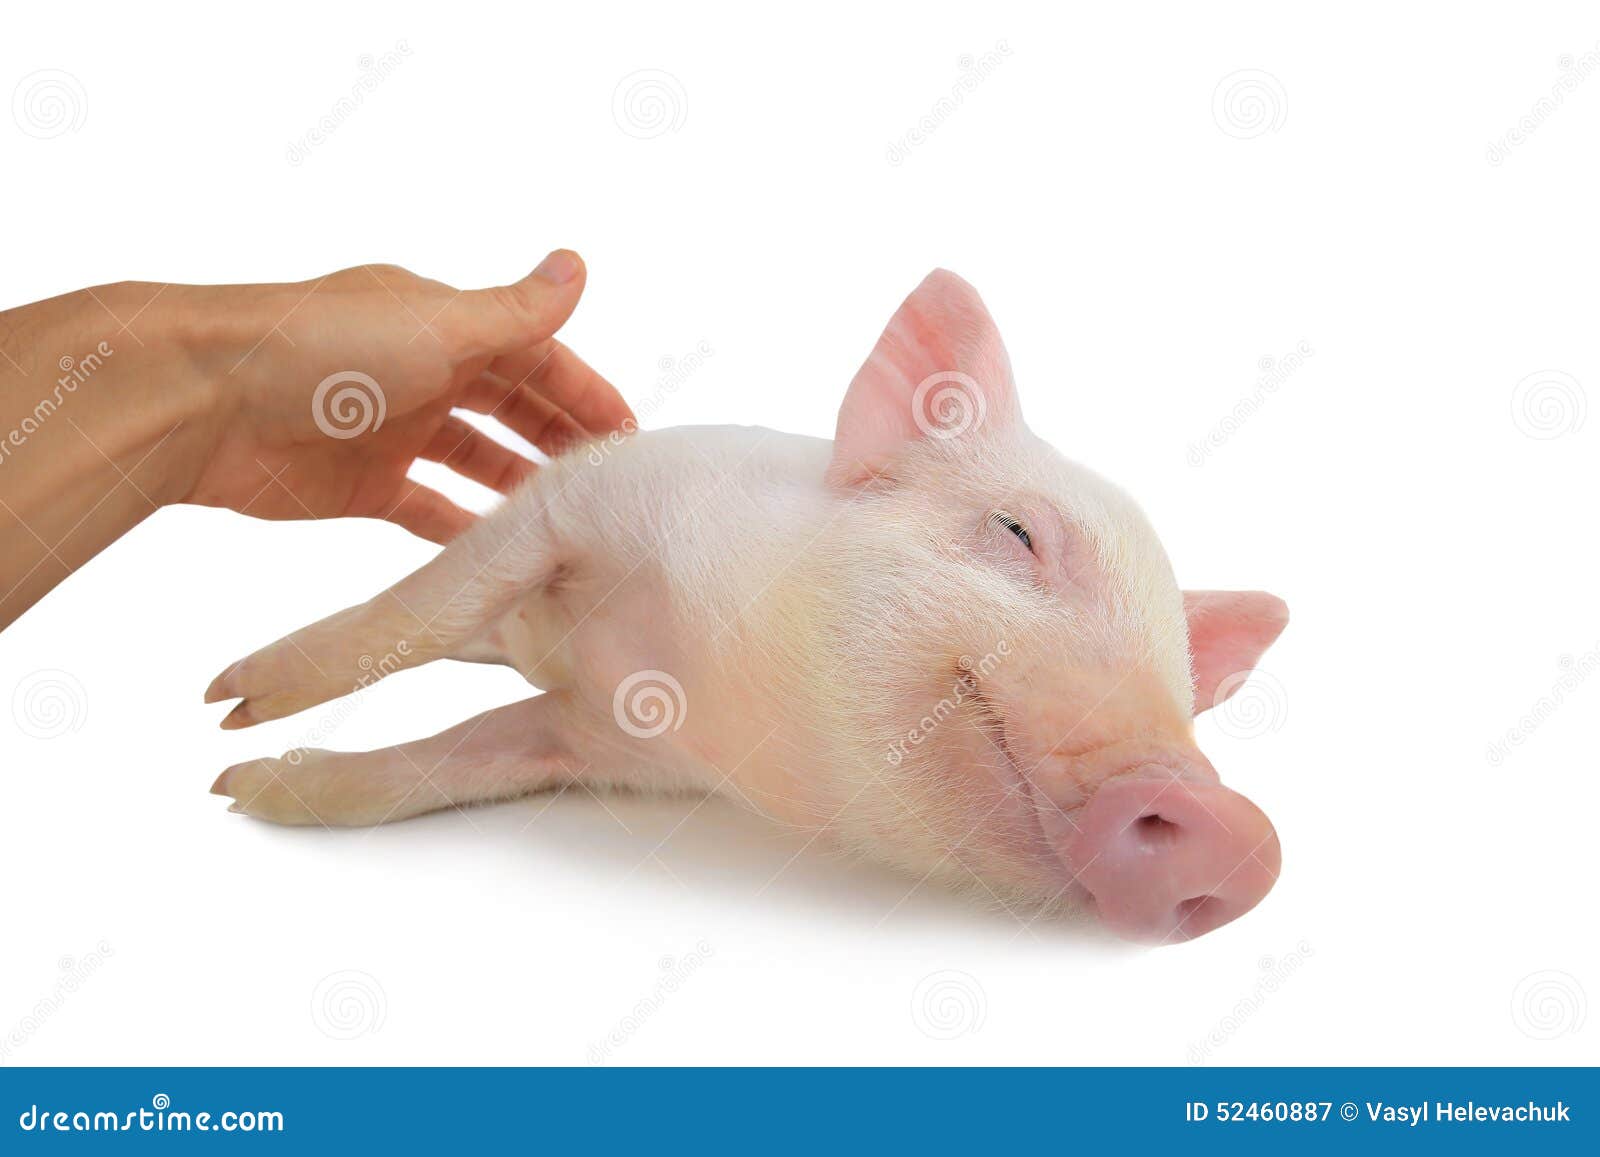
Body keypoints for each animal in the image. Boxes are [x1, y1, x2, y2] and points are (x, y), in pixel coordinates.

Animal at [206, 270, 1289, 944]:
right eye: (1017, 531)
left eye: (1186, 682)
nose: (1237, 824)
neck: (722, 680)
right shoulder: (574, 503)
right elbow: (426, 605)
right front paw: (226, 717)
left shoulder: (592, 739)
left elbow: (455, 757)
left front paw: (241, 789)